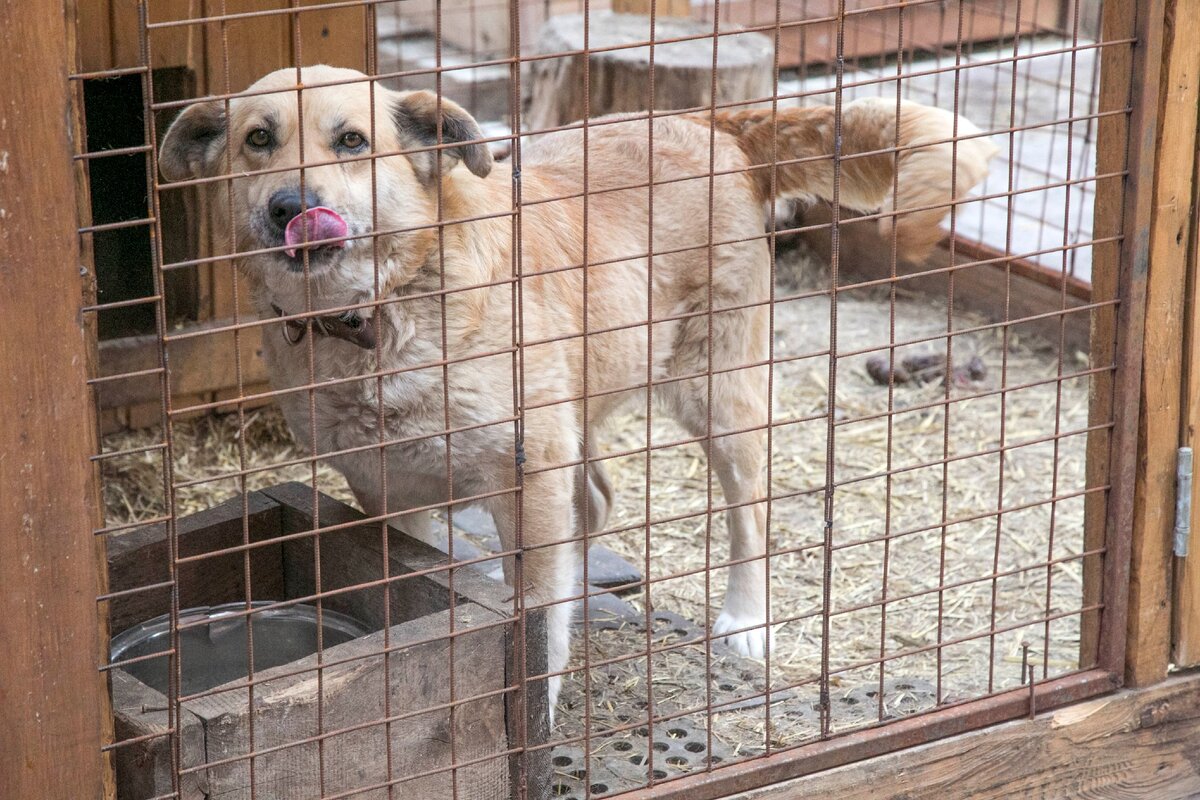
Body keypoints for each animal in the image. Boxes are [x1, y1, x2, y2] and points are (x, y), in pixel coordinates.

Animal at [159, 65, 998, 714]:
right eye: (257, 140)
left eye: (352, 141)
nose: (290, 208)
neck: (381, 317)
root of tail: (708, 125)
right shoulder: (389, 490)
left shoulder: (527, 472)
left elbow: (536, 606)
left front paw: (539, 694)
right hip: (581, 406)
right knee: (593, 502)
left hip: (715, 398)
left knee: (749, 512)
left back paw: (744, 621)